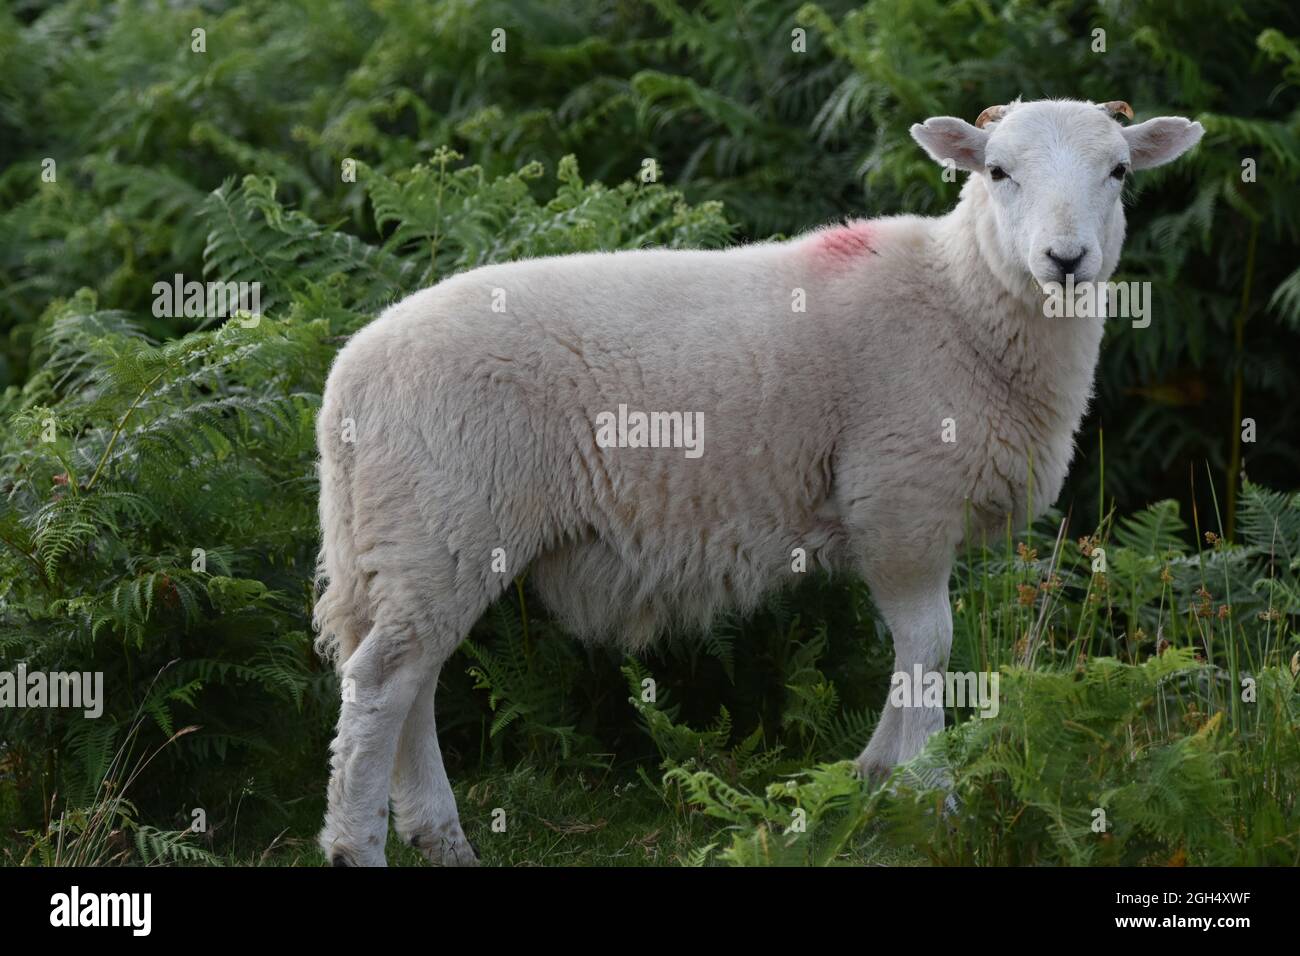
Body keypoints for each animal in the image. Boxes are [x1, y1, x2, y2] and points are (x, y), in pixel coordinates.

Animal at [313, 98, 1204, 866]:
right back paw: (359, 845)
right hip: (447, 519)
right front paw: (929, 796)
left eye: (1119, 171)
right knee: (381, 684)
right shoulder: (899, 503)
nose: (1067, 260)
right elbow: (930, 646)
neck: (960, 297)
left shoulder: (901, 517)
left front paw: (876, 776)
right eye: (998, 171)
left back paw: (439, 838)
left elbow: (918, 650)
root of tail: (349, 380)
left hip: (411, 535)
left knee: (411, 680)